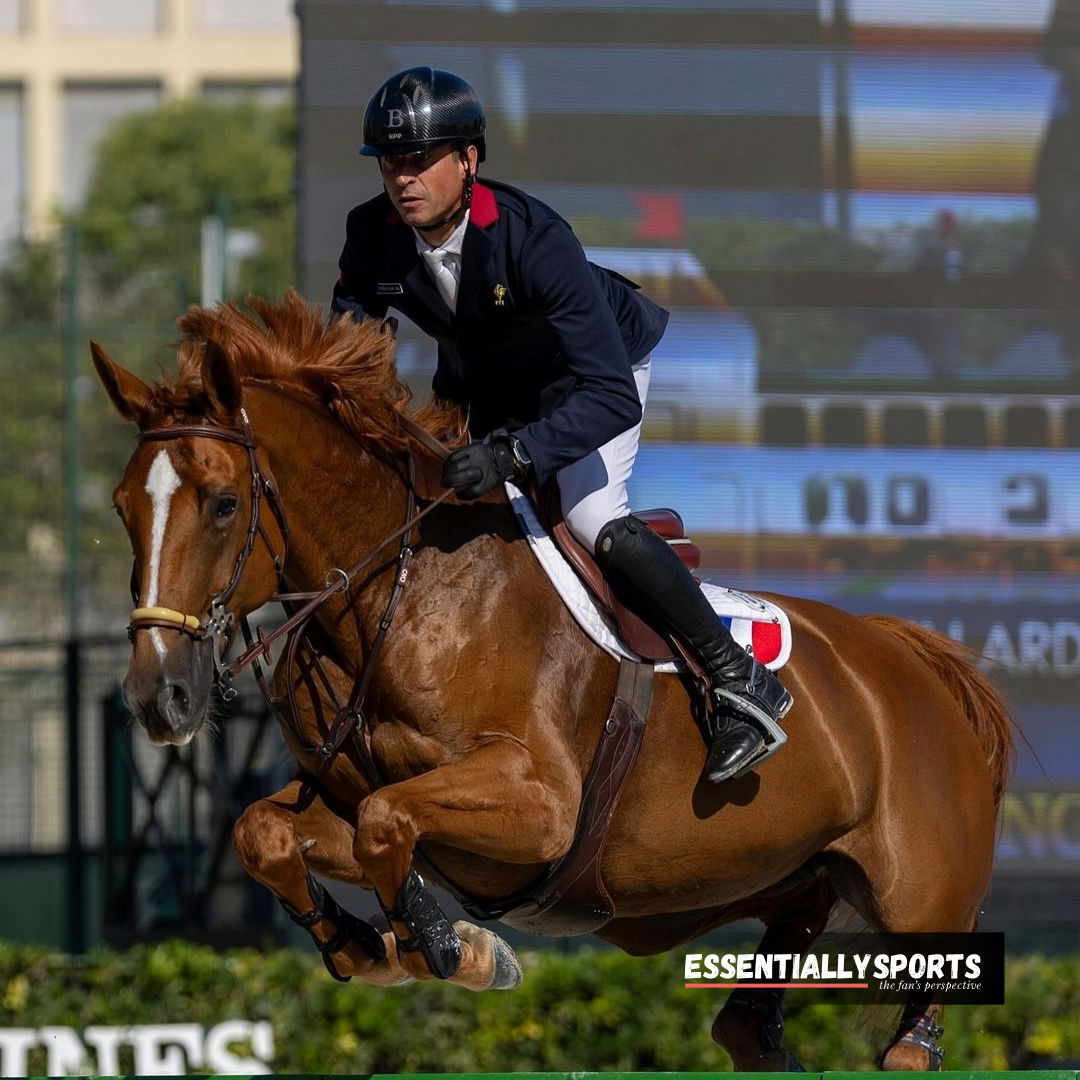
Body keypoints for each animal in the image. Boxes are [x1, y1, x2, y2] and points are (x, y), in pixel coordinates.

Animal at [92, 291, 1015, 1072]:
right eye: (122, 508)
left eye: (221, 504)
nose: (159, 697)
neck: (398, 596)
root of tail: (917, 662)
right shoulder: (356, 800)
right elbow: (271, 832)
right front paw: (382, 947)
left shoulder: (540, 805)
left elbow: (388, 824)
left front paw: (446, 947)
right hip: (799, 883)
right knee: (750, 1027)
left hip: (921, 905)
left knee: (917, 1023)